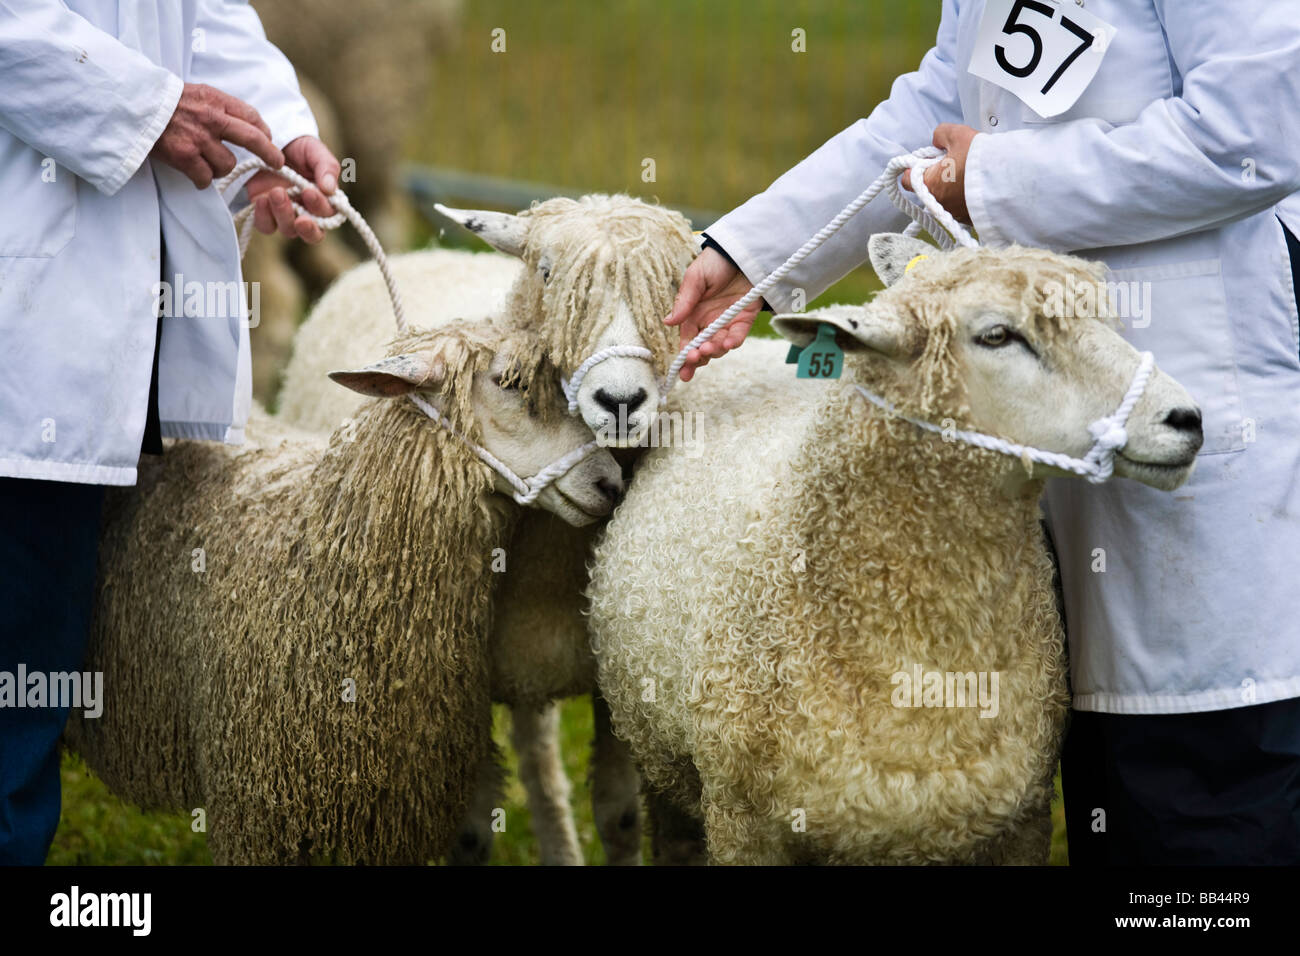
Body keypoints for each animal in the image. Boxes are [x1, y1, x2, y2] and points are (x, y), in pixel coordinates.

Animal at [276, 194, 698, 864]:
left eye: (679, 285)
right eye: (547, 273)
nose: (621, 400)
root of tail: (420, 252)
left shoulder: (613, 689)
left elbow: (621, 818)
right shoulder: (454, 681)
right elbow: (471, 834)